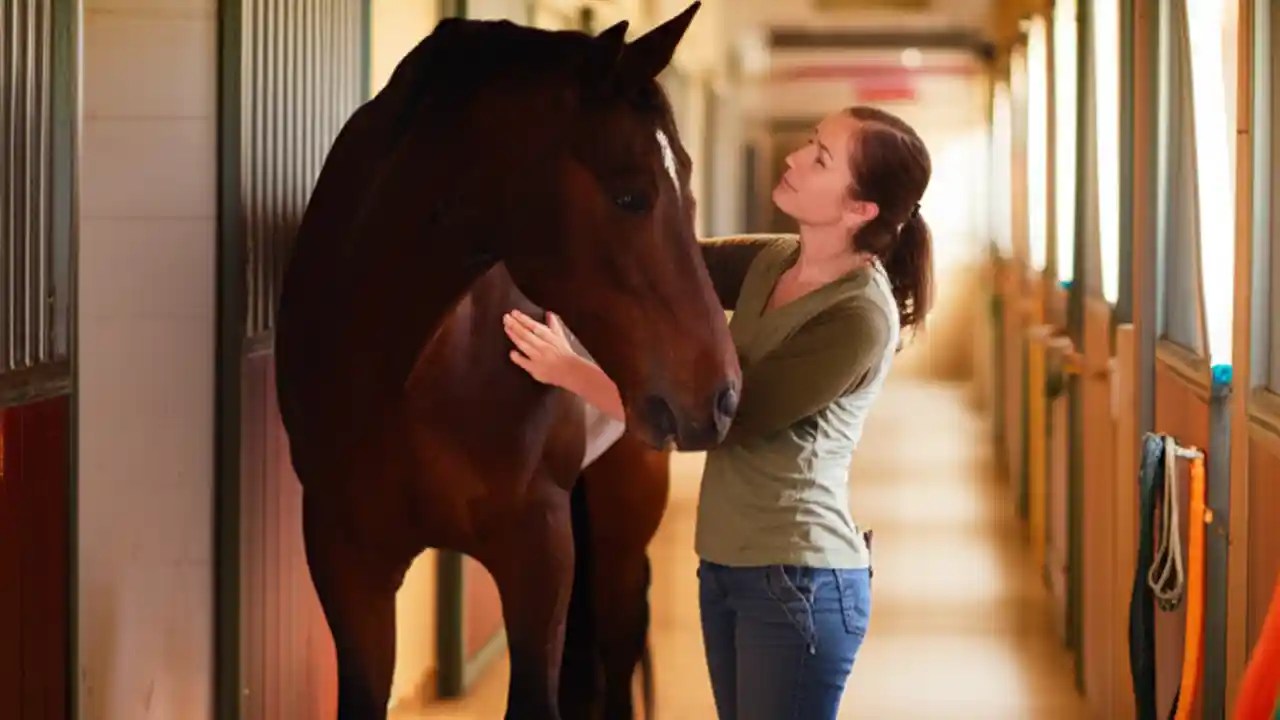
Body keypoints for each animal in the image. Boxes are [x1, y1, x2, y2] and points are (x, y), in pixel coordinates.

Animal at [273, 3, 739, 718]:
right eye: (629, 195)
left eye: (686, 184)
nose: (721, 394)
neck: (409, 369)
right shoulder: (345, 560)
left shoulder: (539, 553)